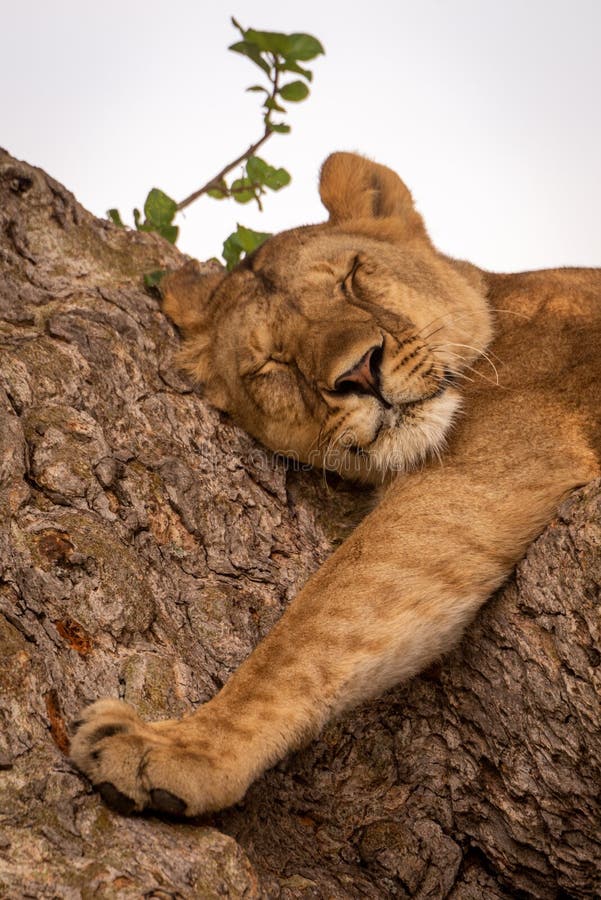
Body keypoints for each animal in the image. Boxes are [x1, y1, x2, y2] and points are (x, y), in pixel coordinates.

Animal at [71, 152, 601, 817]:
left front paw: (177, 750)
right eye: (272, 363)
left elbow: (310, 633)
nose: (358, 372)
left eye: (352, 277)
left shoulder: (476, 473)